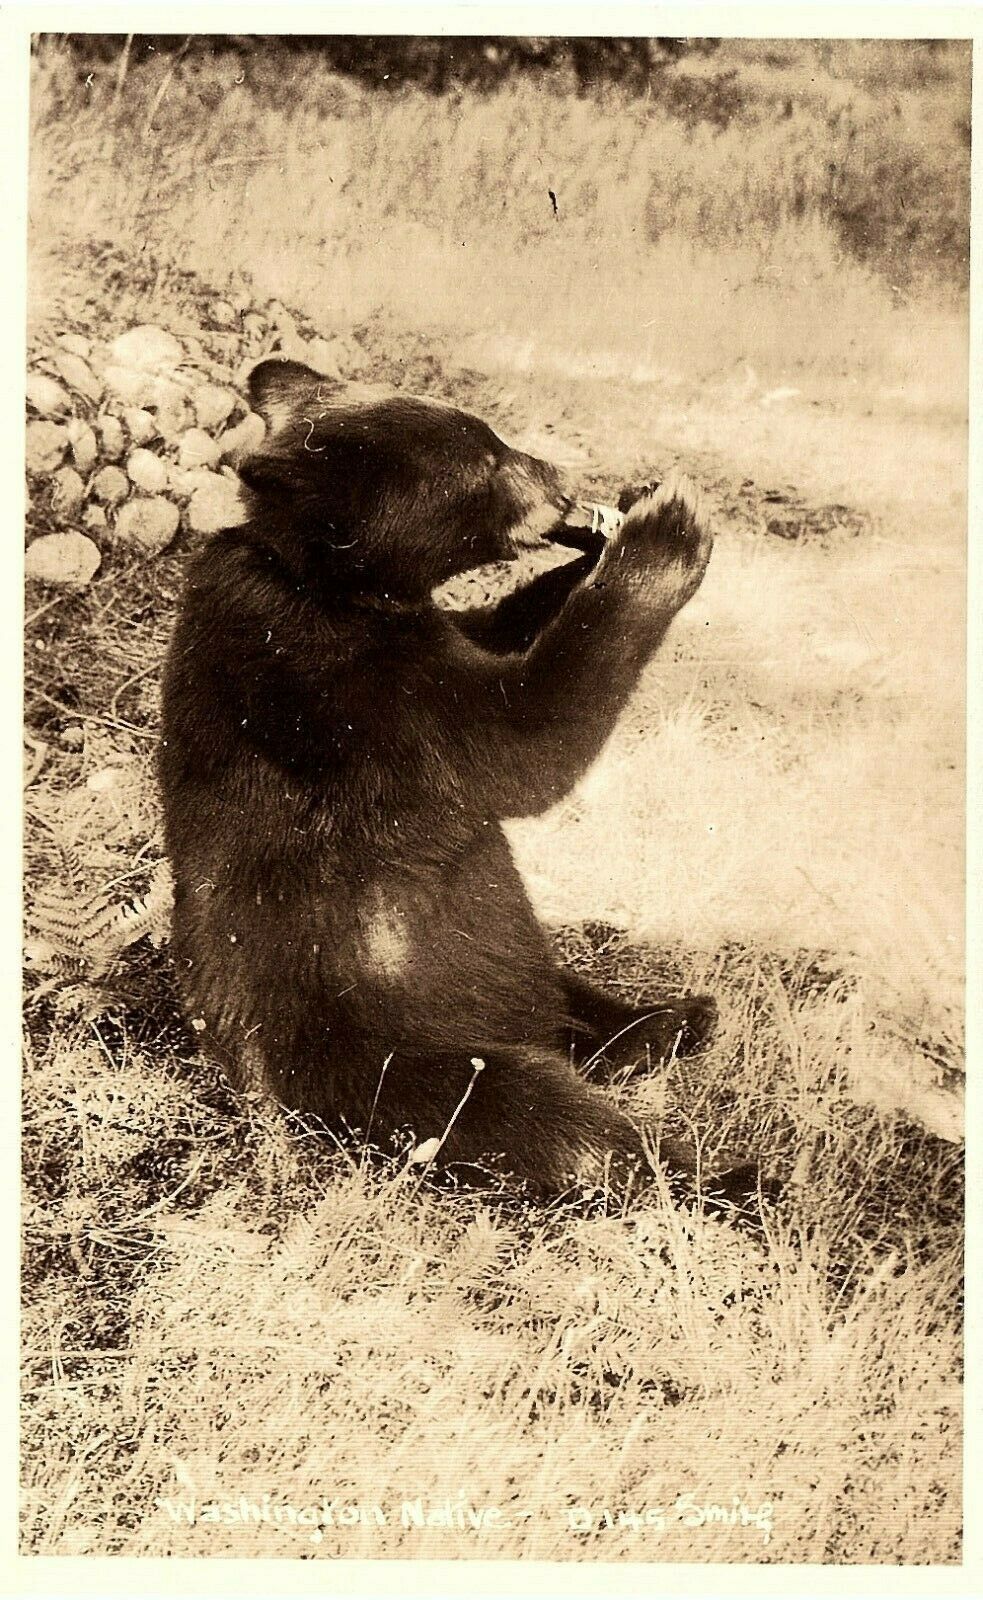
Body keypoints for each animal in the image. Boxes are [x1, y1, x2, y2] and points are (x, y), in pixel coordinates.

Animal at [159, 357, 759, 1205]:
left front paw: (614, 523)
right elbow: (519, 739)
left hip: (513, 981)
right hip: (390, 1055)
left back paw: (672, 1018)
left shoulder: (413, 637)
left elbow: (494, 630)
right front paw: (664, 530)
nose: (565, 485)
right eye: (485, 462)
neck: (326, 584)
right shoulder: (334, 689)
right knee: (552, 1118)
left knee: (571, 1002)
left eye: (492, 437)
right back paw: (728, 1177)